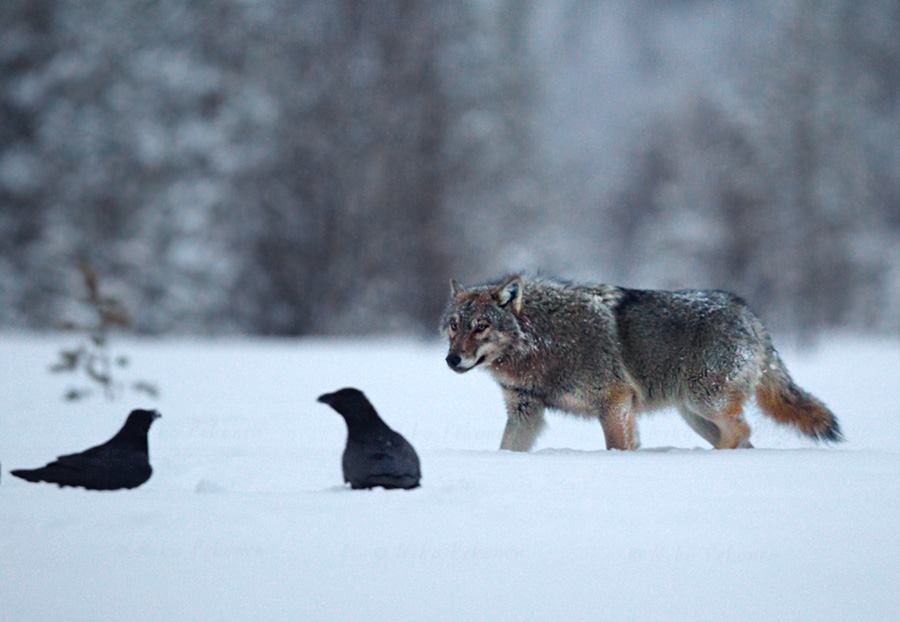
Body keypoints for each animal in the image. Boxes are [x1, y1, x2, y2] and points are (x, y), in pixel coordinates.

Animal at [441, 275, 842, 451]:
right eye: (455, 326)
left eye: (481, 326)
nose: (451, 359)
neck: (544, 342)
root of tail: (748, 314)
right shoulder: (526, 410)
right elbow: (507, 448)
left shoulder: (615, 402)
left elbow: (618, 447)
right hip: (695, 415)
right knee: (743, 437)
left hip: (705, 404)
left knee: (742, 431)